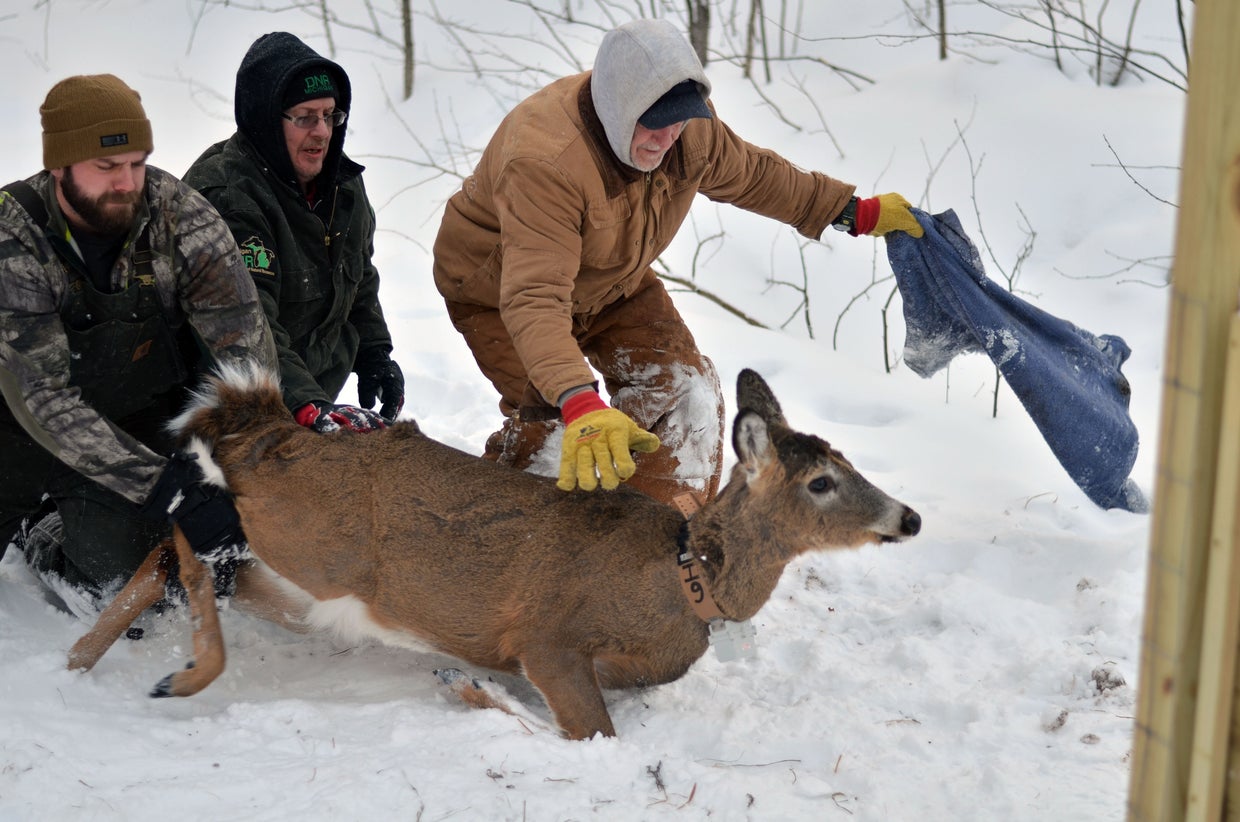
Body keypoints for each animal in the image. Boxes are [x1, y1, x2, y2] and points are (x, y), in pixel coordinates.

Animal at [68, 363, 921, 740]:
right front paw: (463, 685)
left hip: (305, 590)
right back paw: (178, 677)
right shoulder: (548, 640)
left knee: (184, 559)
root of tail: (272, 428)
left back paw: (85, 661)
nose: (909, 518)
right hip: (313, 543)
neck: (682, 582)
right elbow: (586, 733)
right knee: (188, 525)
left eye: (845, 463)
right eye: (820, 482)